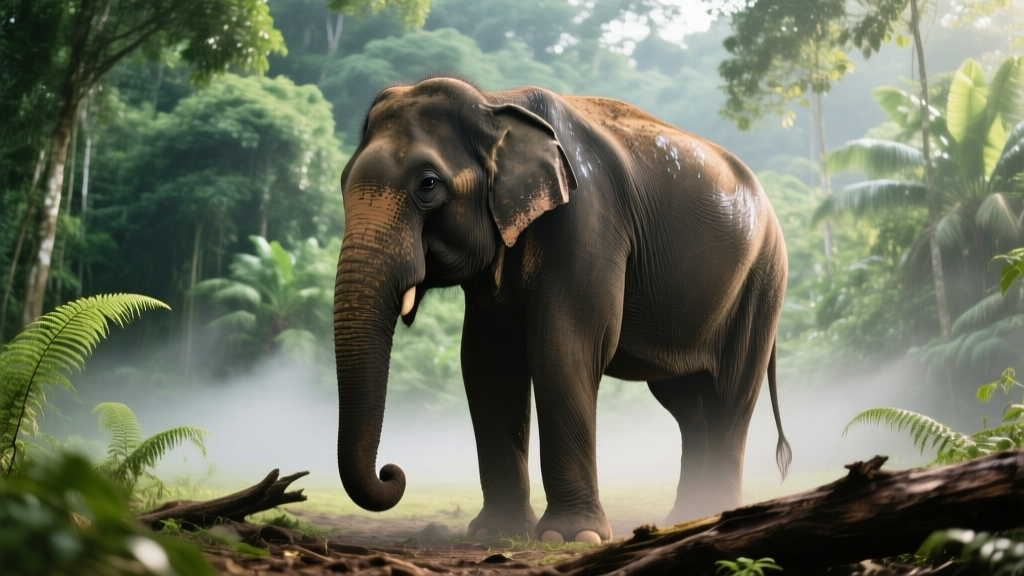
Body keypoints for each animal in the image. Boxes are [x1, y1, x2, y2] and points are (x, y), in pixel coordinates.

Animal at [333, 75, 791, 544]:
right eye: (342, 180)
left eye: (427, 184)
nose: (391, 471)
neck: (495, 104)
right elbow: (489, 365)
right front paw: (495, 534)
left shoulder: (587, 221)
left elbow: (564, 350)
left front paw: (570, 537)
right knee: (686, 403)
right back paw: (686, 518)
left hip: (762, 281)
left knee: (729, 395)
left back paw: (718, 512)